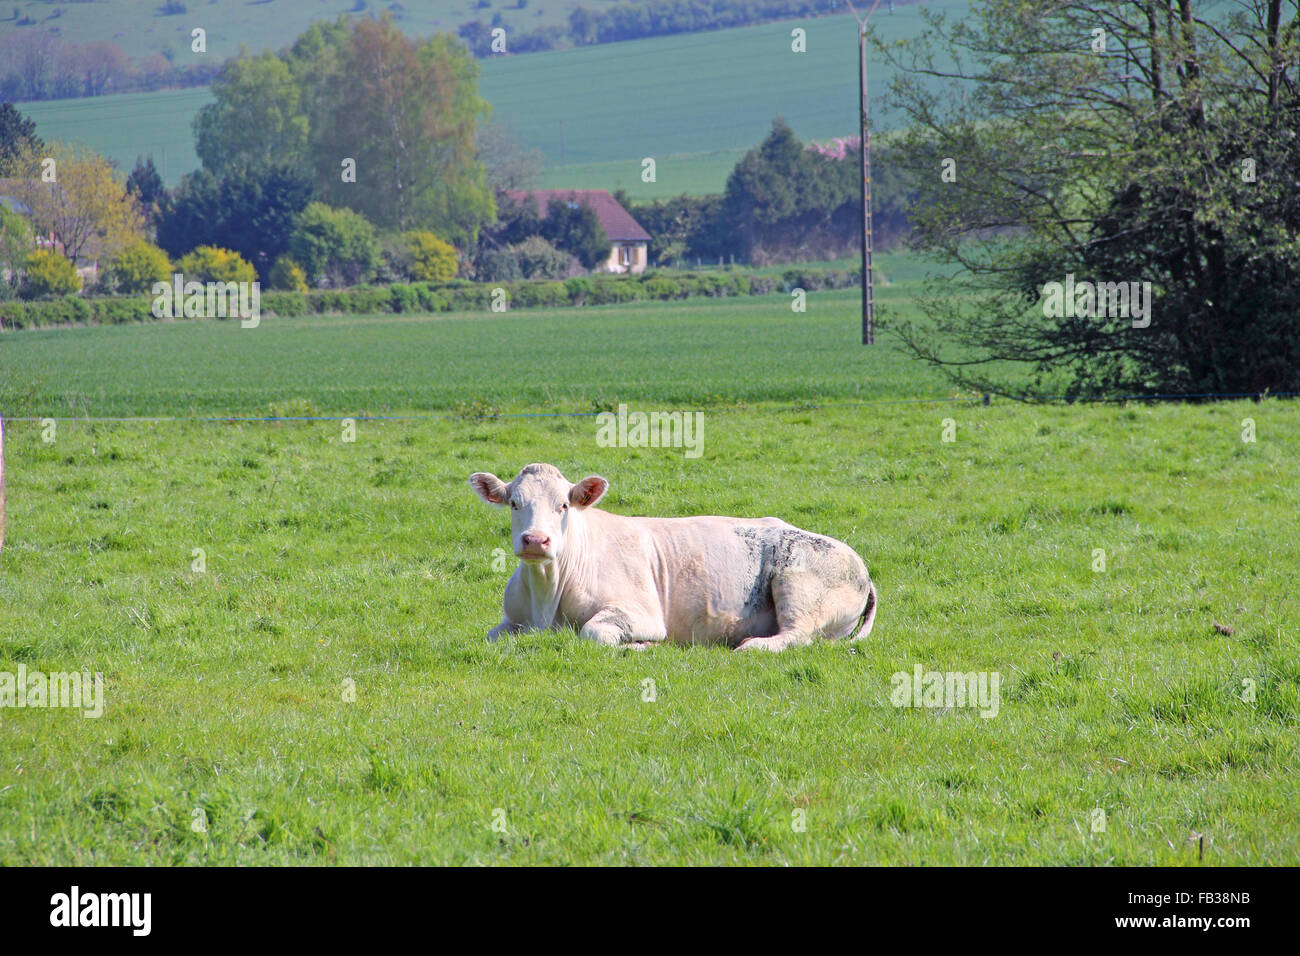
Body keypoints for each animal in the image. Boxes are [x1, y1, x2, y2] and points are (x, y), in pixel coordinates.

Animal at [469, 463, 877, 652]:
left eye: (564, 505)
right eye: (514, 503)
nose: (535, 540)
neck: (547, 596)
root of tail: (862, 568)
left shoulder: (642, 613)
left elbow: (593, 632)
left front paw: (641, 647)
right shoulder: (511, 620)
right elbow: (492, 636)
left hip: (798, 585)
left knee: (797, 635)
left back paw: (751, 645)